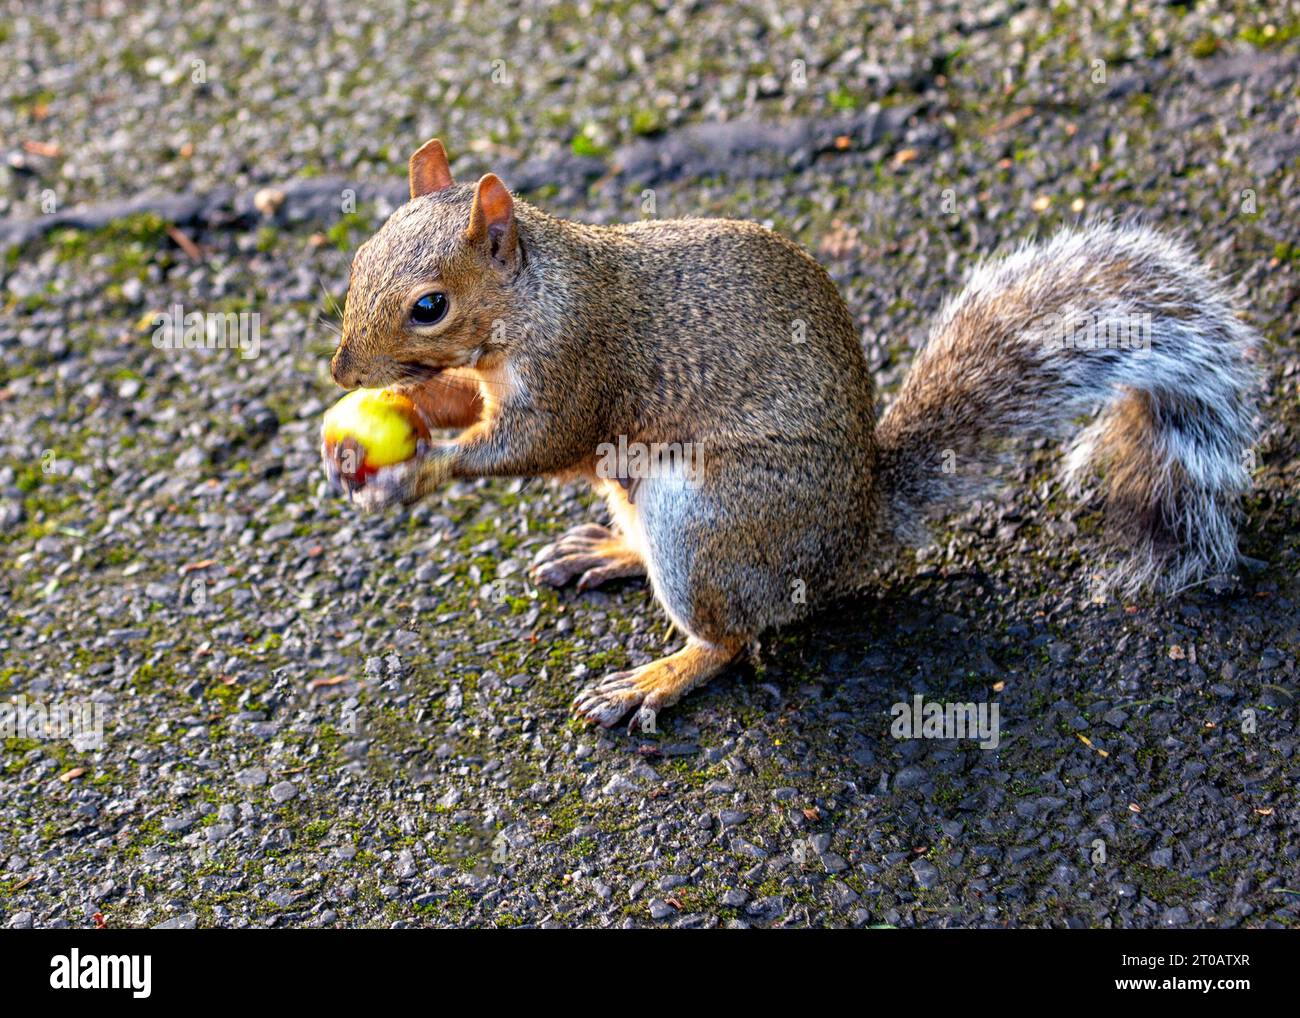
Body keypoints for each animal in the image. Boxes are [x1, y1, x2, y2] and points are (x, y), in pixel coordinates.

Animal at [325, 137, 1260, 732]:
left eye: (430, 305)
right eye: (358, 259)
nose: (340, 370)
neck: (531, 297)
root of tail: (850, 540)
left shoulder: (577, 364)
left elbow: (535, 446)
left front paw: (415, 473)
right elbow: (458, 403)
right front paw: (393, 420)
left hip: (712, 521)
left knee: (734, 636)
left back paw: (656, 679)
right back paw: (608, 551)